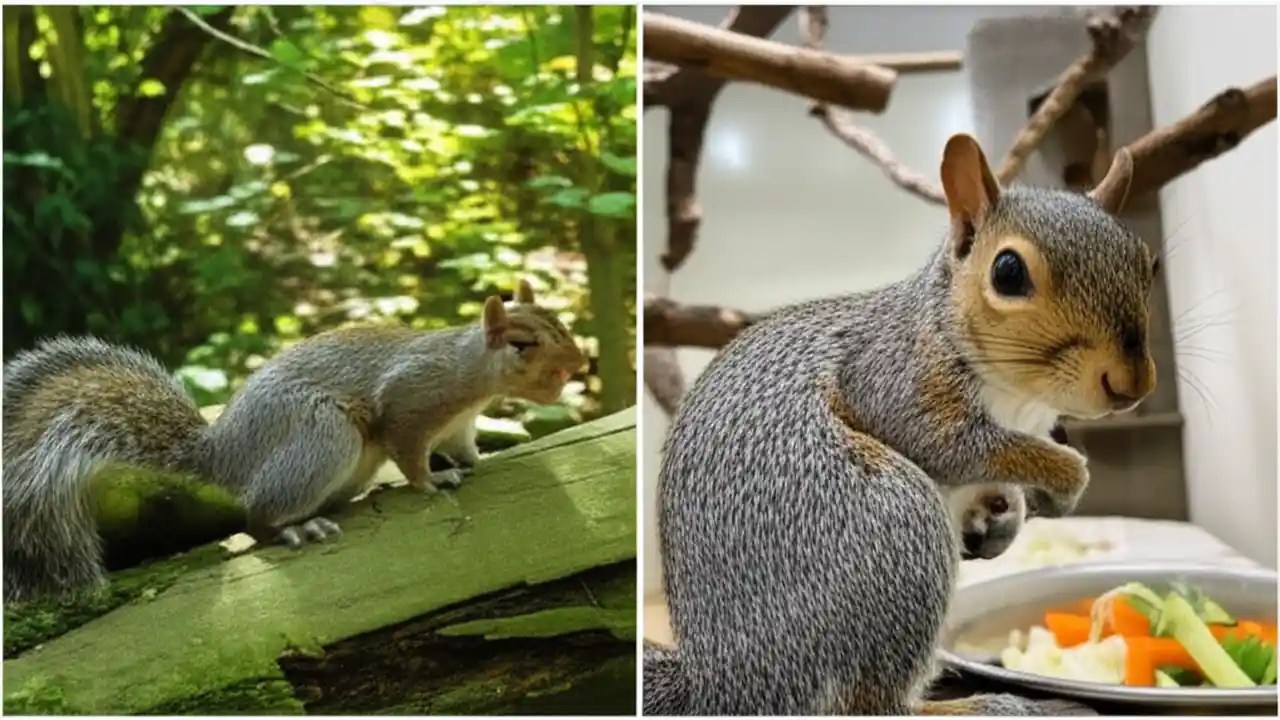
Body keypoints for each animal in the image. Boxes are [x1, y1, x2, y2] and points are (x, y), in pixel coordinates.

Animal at [3, 280, 585, 602]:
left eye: (559, 320)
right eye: (522, 344)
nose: (579, 363)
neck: (469, 374)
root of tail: (223, 454)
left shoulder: (458, 424)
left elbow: (465, 446)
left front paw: (479, 458)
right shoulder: (411, 403)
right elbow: (408, 451)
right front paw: (432, 481)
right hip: (324, 437)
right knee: (256, 519)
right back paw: (294, 529)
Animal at [644, 134, 1156, 715]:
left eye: (1148, 262)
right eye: (1007, 272)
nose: (1131, 383)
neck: (1021, 400)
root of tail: (722, 687)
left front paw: (1009, 511)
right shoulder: (894, 380)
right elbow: (955, 445)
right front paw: (1068, 477)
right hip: (889, 519)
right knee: (878, 706)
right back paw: (977, 704)